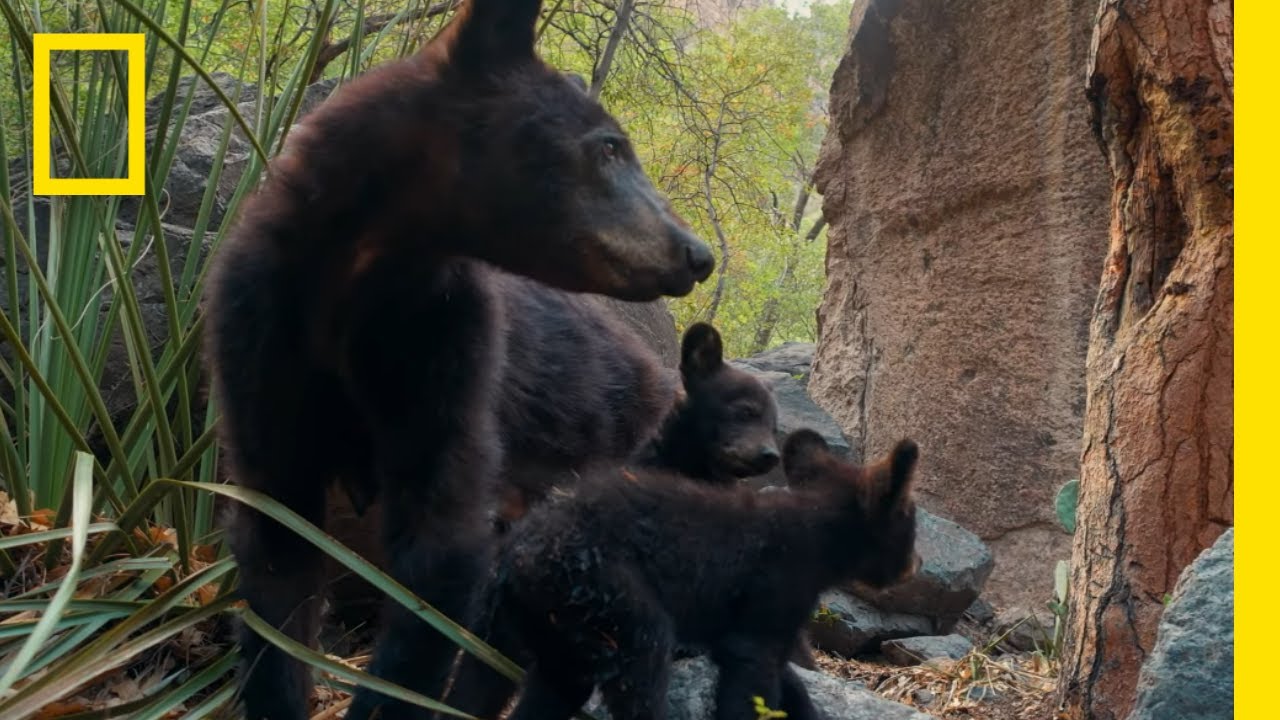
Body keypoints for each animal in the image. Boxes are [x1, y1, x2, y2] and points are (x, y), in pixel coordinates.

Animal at [203, 0, 716, 712]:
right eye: (610, 146)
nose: (697, 254)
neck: (354, 281)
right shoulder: (260, 342)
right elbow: (277, 573)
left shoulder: (448, 347)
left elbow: (439, 555)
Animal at [448, 427, 921, 717]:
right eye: (910, 521)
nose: (915, 566)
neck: (818, 540)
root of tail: (514, 562)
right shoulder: (770, 601)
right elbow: (751, 682)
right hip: (610, 599)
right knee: (643, 666)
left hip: (508, 632)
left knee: (488, 688)